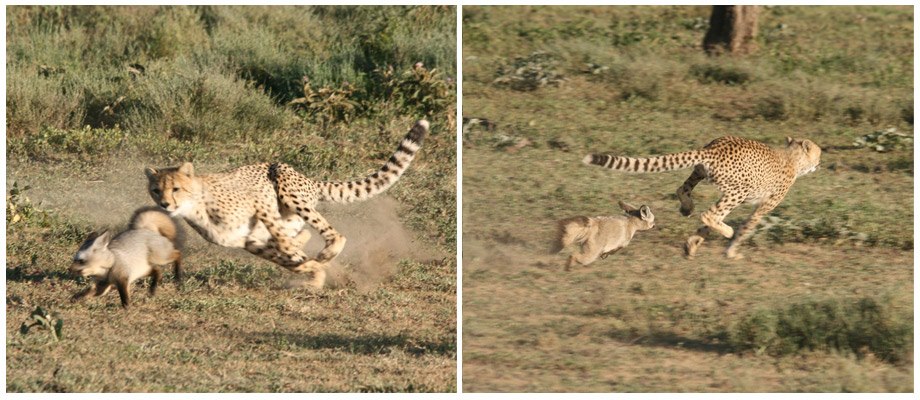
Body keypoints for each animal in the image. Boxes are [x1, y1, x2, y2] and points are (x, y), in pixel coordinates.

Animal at [144, 120, 428, 288]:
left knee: (331, 234)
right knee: (302, 235)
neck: (197, 205)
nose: (165, 205)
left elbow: (283, 242)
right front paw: (314, 274)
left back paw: (326, 252)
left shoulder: (259, 203)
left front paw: (310, 265)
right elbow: (288, 259)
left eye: (176, 189)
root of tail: (308, 179)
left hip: (286, 186)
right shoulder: (249, 241)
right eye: (156, 190)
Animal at [583, 136, 821, 259]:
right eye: (818, 154)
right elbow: (746, 228)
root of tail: (714, 147)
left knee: (683, 190)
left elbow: (704, 229)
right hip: (738, 191)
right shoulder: (764, 206)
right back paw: (727, 230)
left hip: (700, 172)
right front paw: (731, 251)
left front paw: (692, 245)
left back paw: (687, 208)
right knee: (710, 214)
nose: (820, 163)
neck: (792, 157)